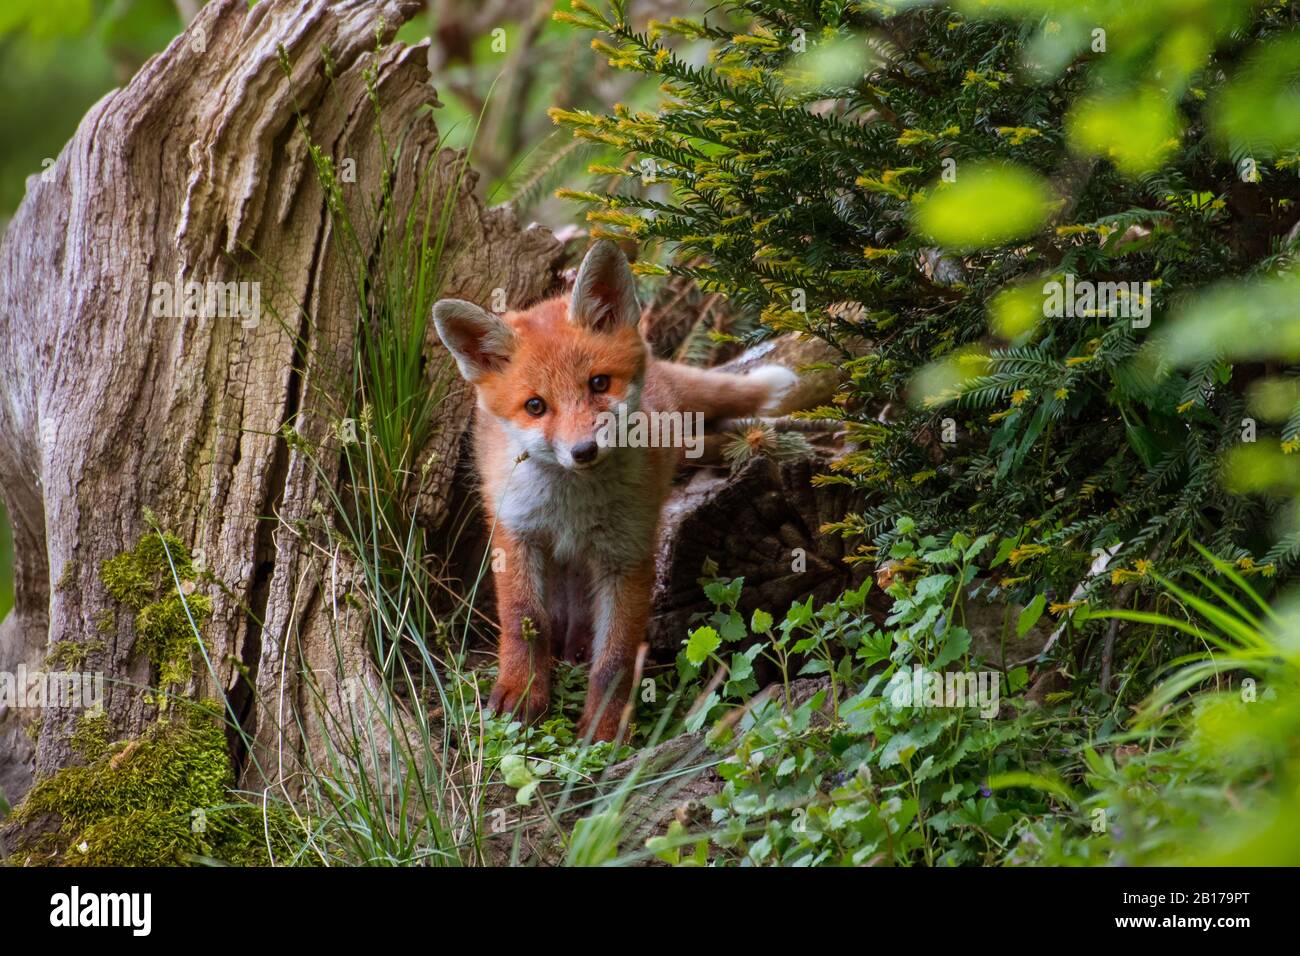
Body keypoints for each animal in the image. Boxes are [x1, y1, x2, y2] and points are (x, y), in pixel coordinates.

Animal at [433, 240, 796, 741]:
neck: (573, 503)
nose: (583, 450)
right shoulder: (516, 530)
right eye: (535, 406)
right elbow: (525, 621)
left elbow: (617, 657)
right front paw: (522, 694)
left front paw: (604, 729)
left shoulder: (629, 553)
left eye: (599, 383)